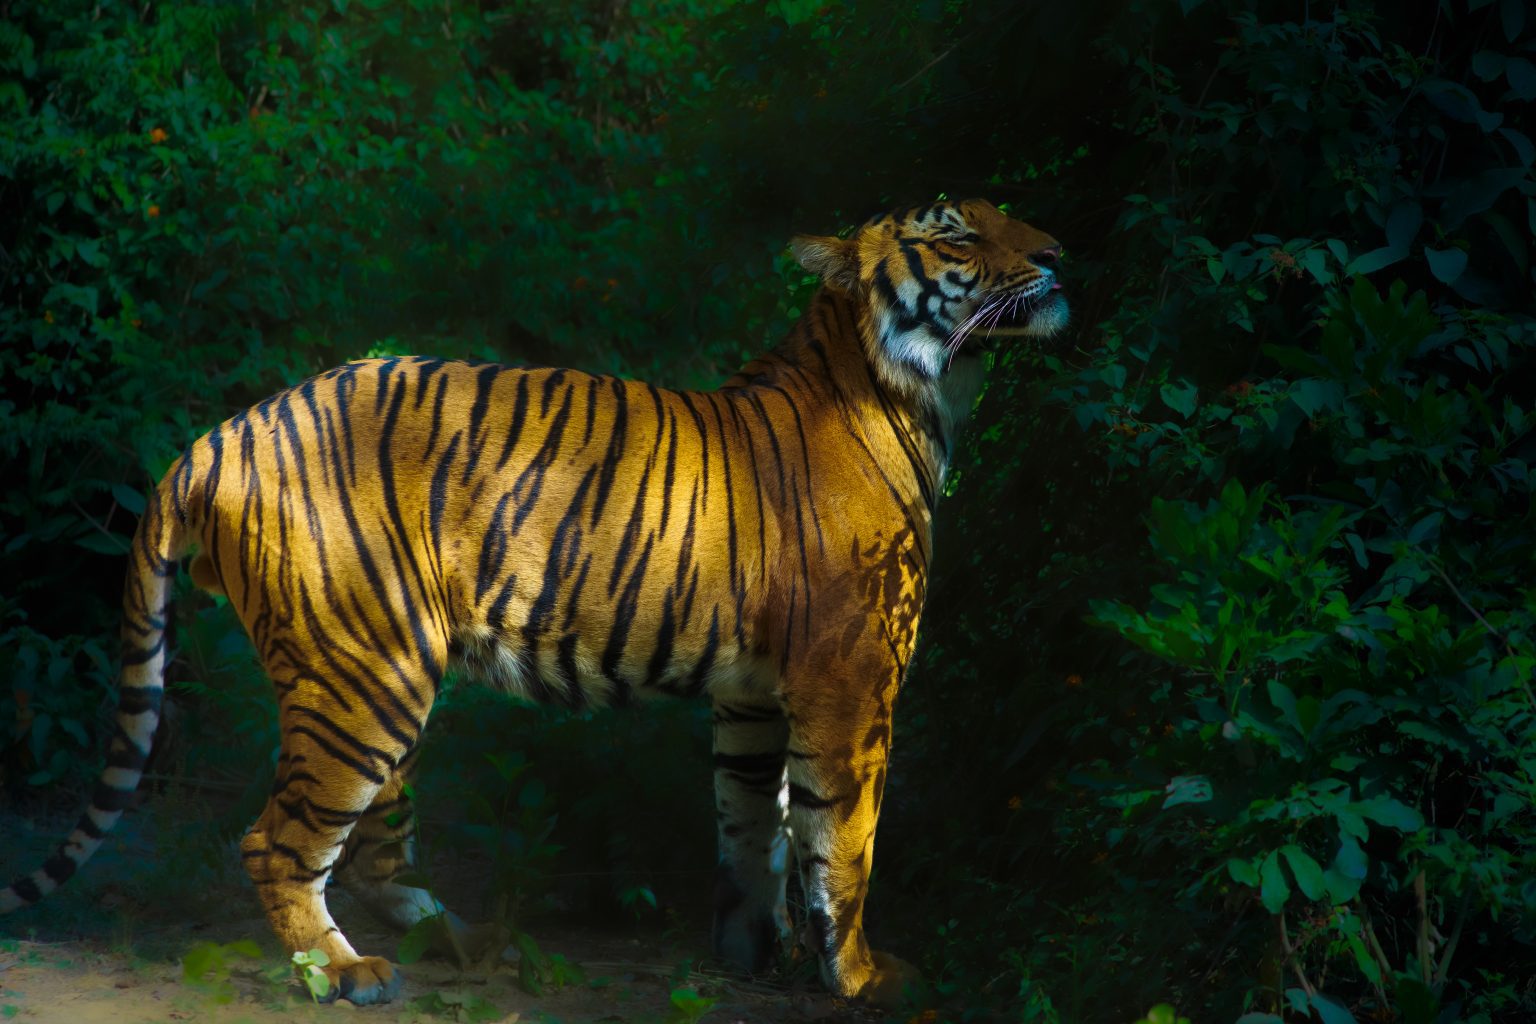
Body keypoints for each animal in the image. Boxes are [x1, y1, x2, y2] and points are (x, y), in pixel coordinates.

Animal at [1, 198, 1067, 1007]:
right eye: (957, 235)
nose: (1058, 252)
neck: (918, 394)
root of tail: (217, 436)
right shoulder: (851, 682)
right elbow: (845, 839)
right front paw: (859, 977)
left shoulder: (755, 696)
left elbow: (753, 829)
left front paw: (750, 956)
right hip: (367, 681)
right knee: (279, 842)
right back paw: (350, 975)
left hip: (376, 679)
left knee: (369, 846)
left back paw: (460, 939)